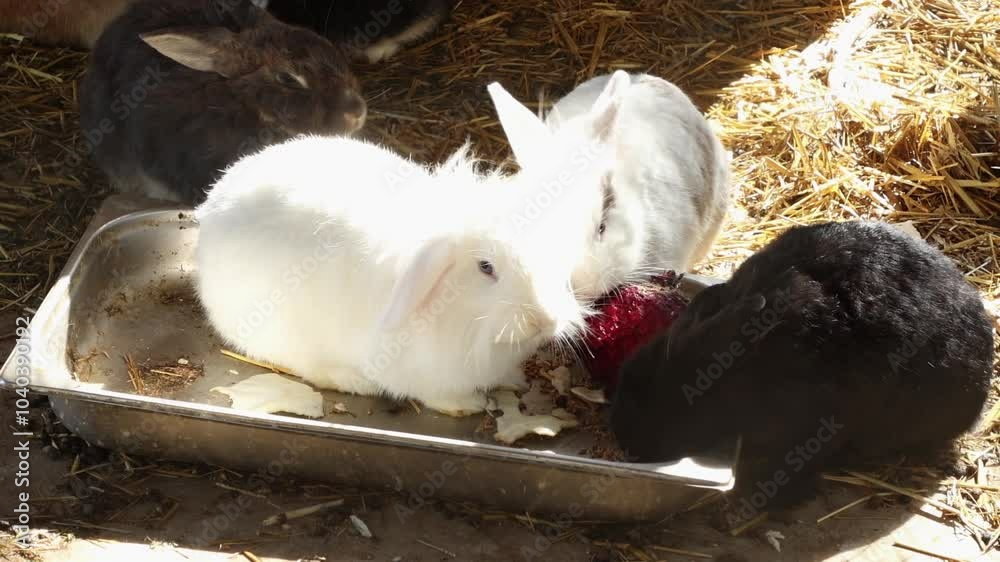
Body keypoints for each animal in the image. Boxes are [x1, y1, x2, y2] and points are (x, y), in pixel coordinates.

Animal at [194, 134, 599, 417]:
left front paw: (513, 381)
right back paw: (355, 381)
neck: (469, 320)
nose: (544, 321)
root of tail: (214, 204)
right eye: (486, 267)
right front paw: (464, 405)